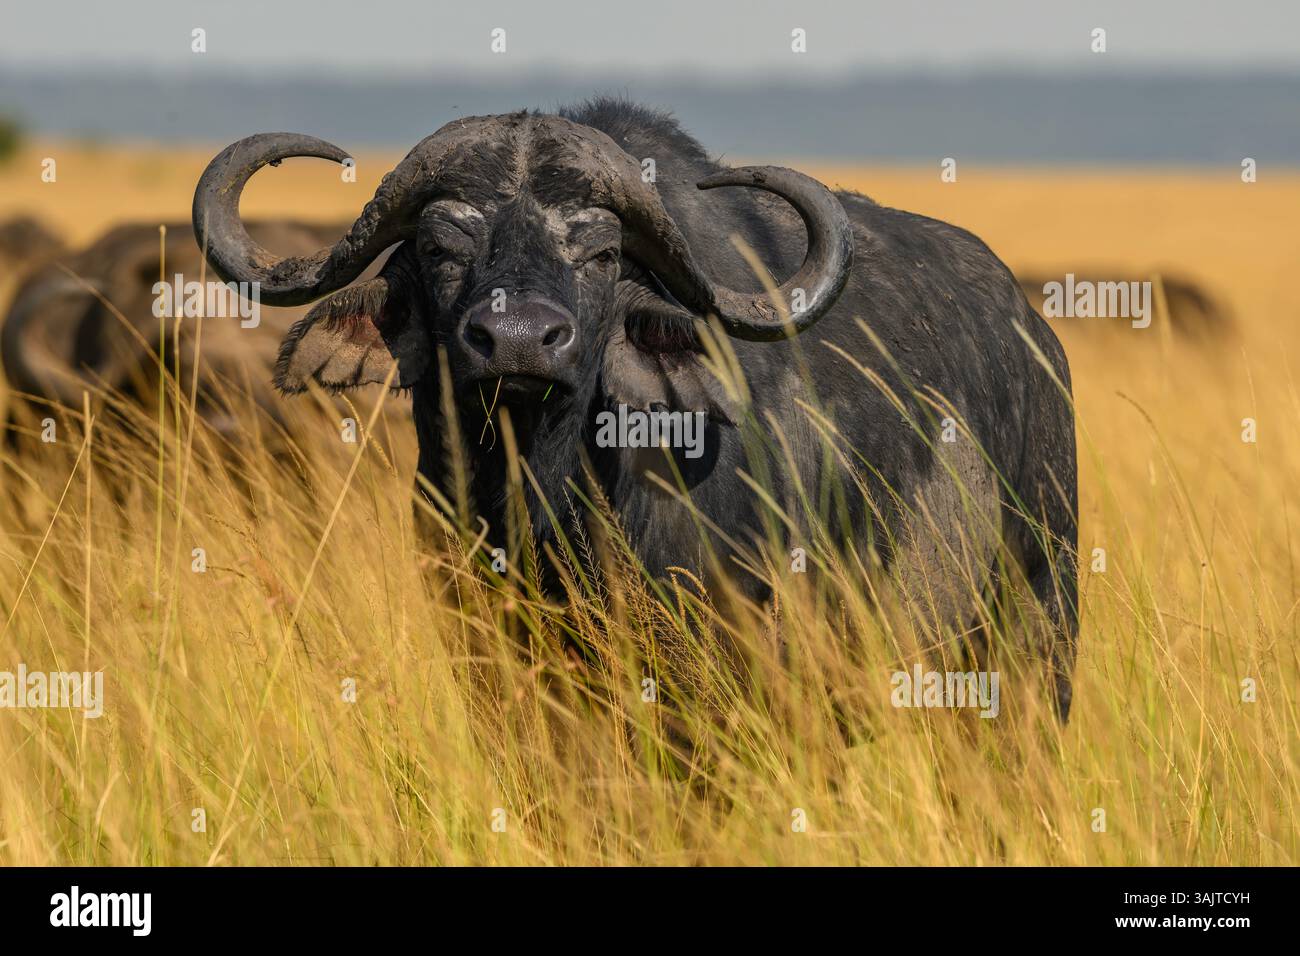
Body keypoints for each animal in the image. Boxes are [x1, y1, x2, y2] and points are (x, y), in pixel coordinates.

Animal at [193, 99, 1080, 718]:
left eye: (602, 254)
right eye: (440, 248)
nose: (519, 341)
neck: (547, 500)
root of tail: (1036, 341)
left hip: (1036, 638)